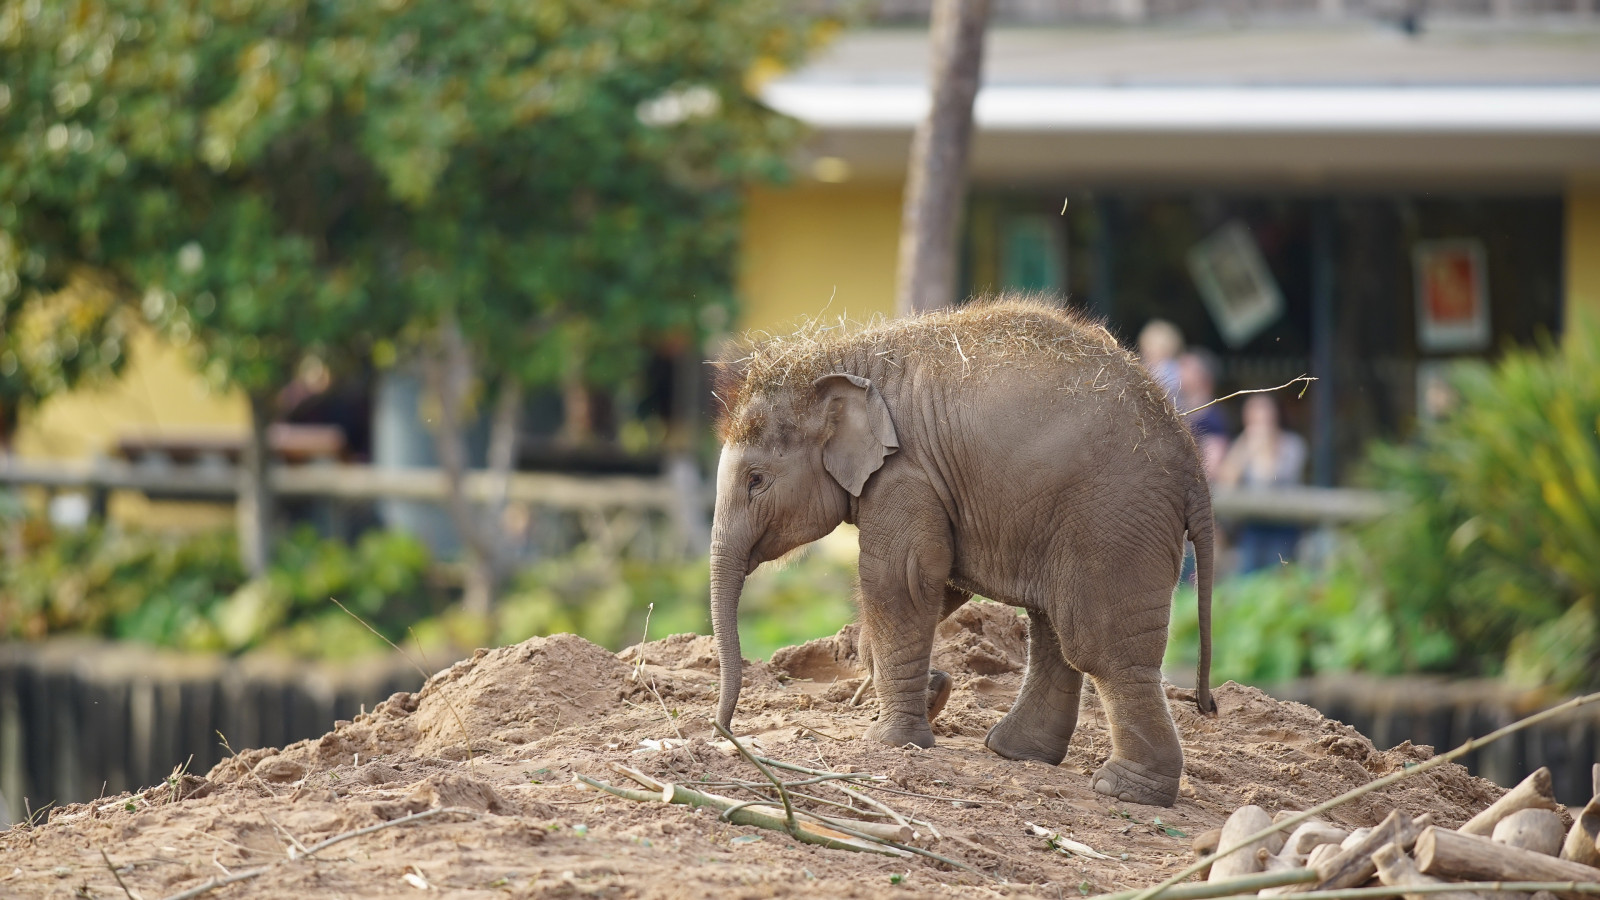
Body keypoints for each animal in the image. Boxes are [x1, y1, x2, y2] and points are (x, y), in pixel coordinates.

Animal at [707, 296, 1216, 807]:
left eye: (756, 480)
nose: (725, 731)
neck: (841, 358)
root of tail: (1193, 463)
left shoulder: (905, 474)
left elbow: (902, 578)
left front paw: (893, 740)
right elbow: (941, 580)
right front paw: (932, 691)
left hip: (1112, 524)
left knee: (1099, 647)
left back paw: (1125, 789)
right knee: (1052, 627)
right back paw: (1015, 751)